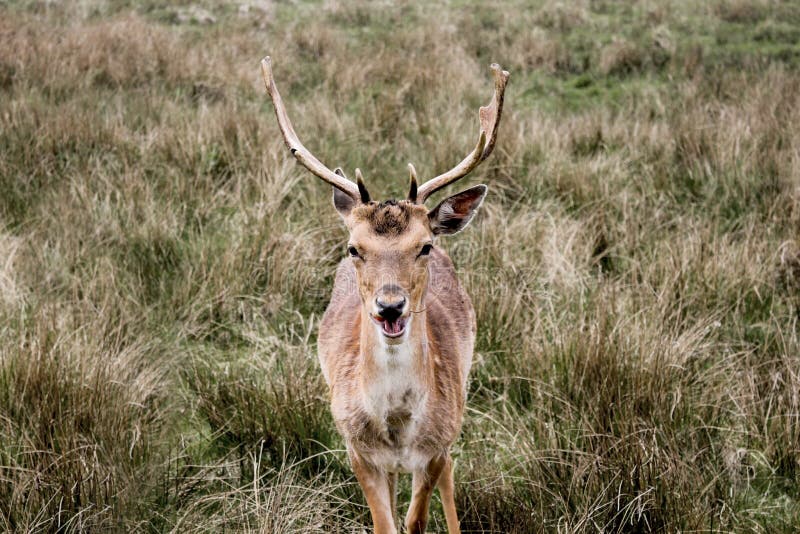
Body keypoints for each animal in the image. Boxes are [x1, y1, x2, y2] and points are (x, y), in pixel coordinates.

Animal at [261, 56, 508, 534]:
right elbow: (385, 523)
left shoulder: (436, 447)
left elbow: (415, 519)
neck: (396, 426)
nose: (390, 306)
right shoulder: (355, 449)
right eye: (354, 248)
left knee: (451, 472)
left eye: (424, 246)